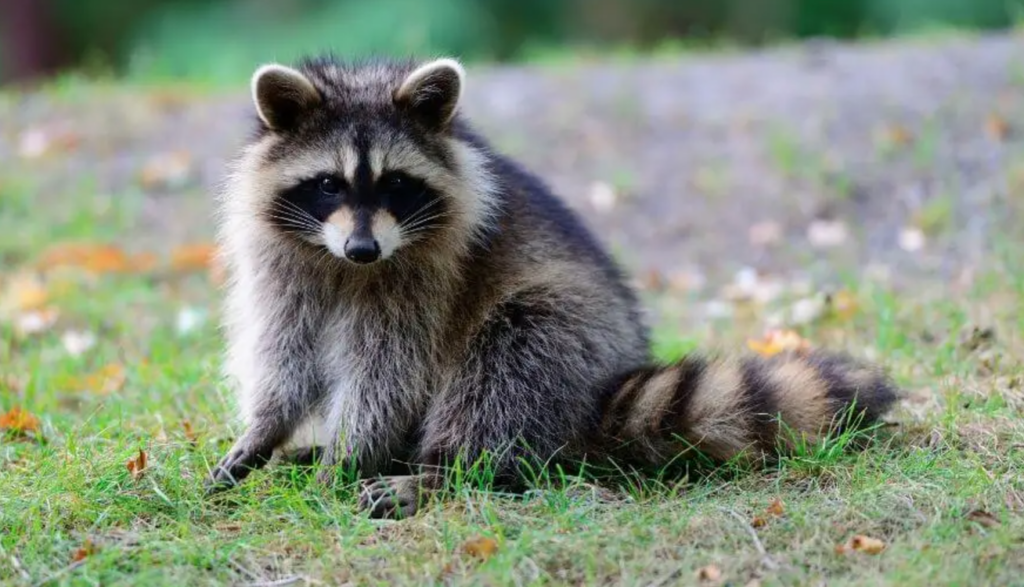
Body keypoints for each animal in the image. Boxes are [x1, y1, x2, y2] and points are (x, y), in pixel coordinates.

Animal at [207, 55, 899, 518]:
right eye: (328, 184)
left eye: (396, 184)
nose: (363, 249)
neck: (345, 266)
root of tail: (607, 384)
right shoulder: (283, 263)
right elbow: (285, 353)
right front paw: (267, 430)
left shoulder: (425, 276)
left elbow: (389, 372)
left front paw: (350, 456)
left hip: (566, 332)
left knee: (507, 366)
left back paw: (441, 470)